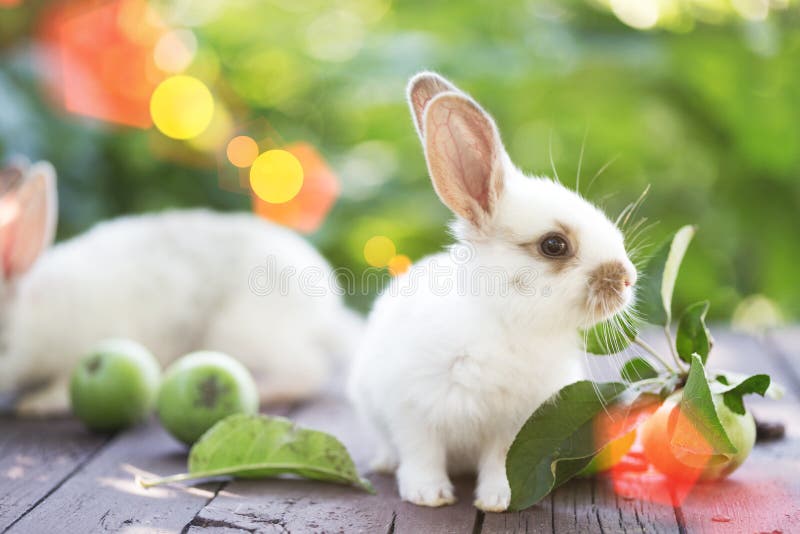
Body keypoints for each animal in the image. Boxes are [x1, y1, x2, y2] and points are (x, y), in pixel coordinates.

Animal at [0, 159, 362, 416]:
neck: (32, 314)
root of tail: (326, 312)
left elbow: (63, 385)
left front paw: (36, 404)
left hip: (239, 334)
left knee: (309, 370)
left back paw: (267, 391)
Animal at [347, 72, 638, 512]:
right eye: (554, 245)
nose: (627, 279)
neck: (505, 321)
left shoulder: (516, 424)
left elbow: (499, 460)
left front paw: (498, 499)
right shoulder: (412, 409)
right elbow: (422, 453)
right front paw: (428, 495)